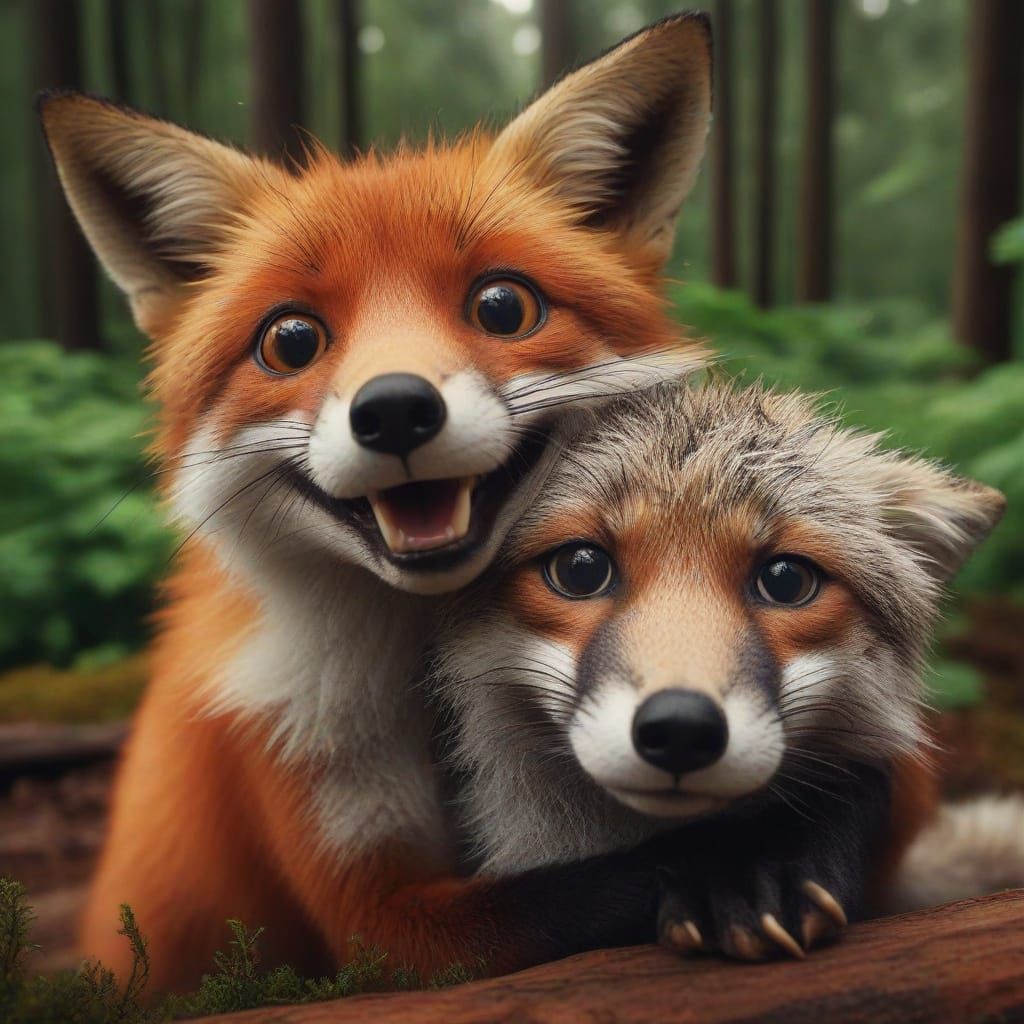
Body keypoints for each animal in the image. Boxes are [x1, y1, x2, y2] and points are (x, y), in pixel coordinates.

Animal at [36, 13, 718, 991]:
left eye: (502, 306)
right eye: (290, 339)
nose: (394, 408)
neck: (429, 687)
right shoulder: (374, 901)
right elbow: (580, 888)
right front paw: (740, 862)